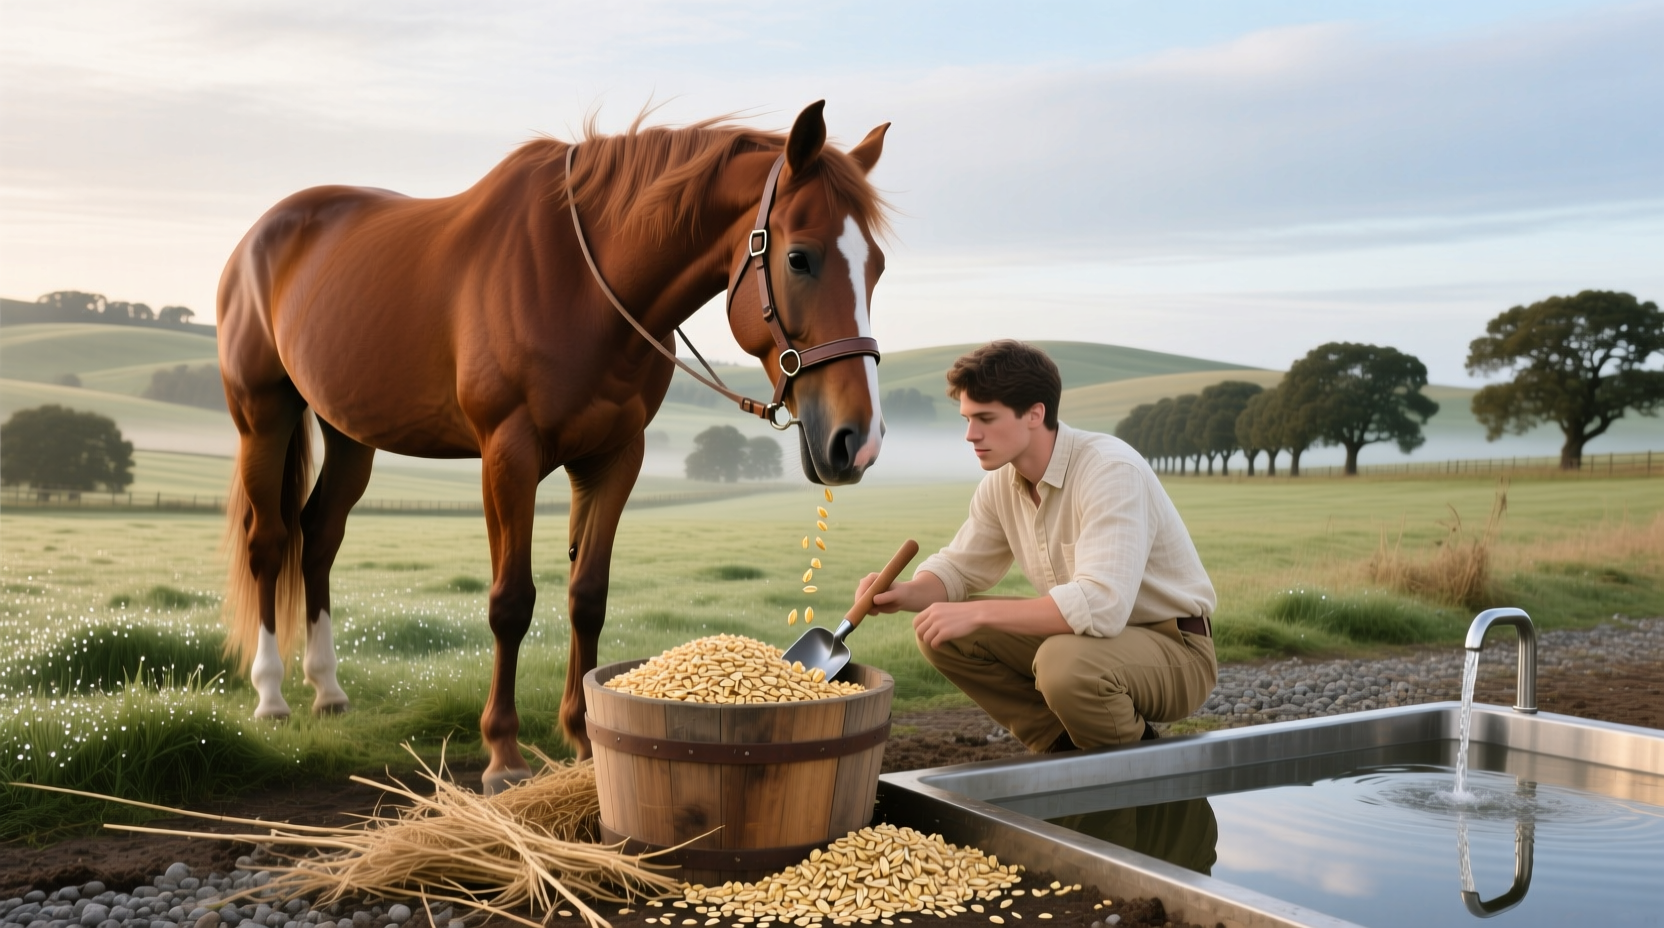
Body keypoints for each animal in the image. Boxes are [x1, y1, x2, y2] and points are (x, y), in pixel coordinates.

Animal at [217, 101, 891, 792]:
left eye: (876, 266)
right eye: (800, 258)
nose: (858, 443)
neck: (581, 288)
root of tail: (262, 236)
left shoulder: (615, 458)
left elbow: (587, 596)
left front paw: (585, 738)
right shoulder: (508, 455)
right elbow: (511, 603)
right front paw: (503, 756)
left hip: (349, 433)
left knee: (320, 536)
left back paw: (327, 691)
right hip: (262, 415)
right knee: (269, 541)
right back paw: (271, 695)